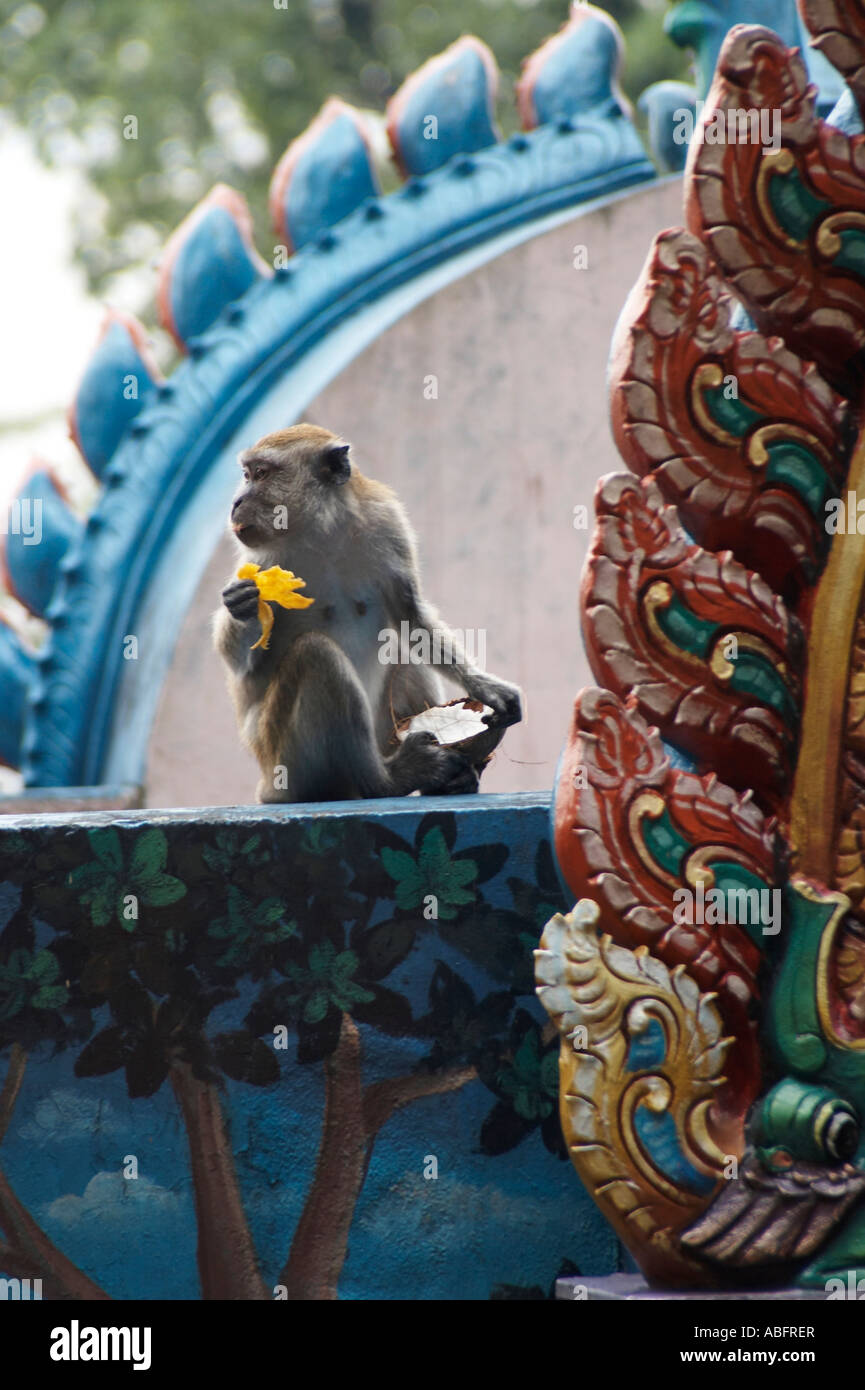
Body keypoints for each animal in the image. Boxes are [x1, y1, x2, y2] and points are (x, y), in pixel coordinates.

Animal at [213, 423, 522, 803]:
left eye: (260, 474)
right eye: (248, 475)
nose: (236, 502)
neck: (322, 534)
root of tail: (265, 785)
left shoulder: (387, 522)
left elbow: (410, 617)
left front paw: (485, 686)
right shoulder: (262, 560)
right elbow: (242, 662)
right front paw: (242, 605)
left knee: (402, 651)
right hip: (283, 759)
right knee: (317, 654)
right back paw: (386, 780)